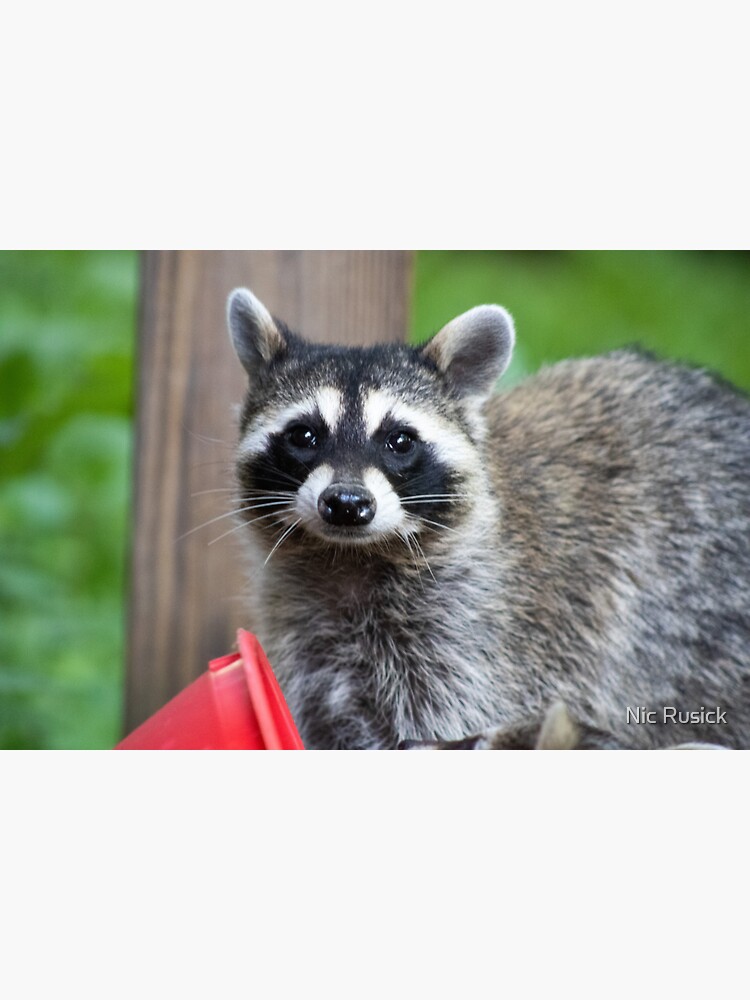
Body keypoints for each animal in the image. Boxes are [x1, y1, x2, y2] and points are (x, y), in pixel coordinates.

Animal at [227, 287, 750, 750]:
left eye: (400, 440)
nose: (347, 503)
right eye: (304, 436)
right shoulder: (310, 639)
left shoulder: (482, 637)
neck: (350, 560)